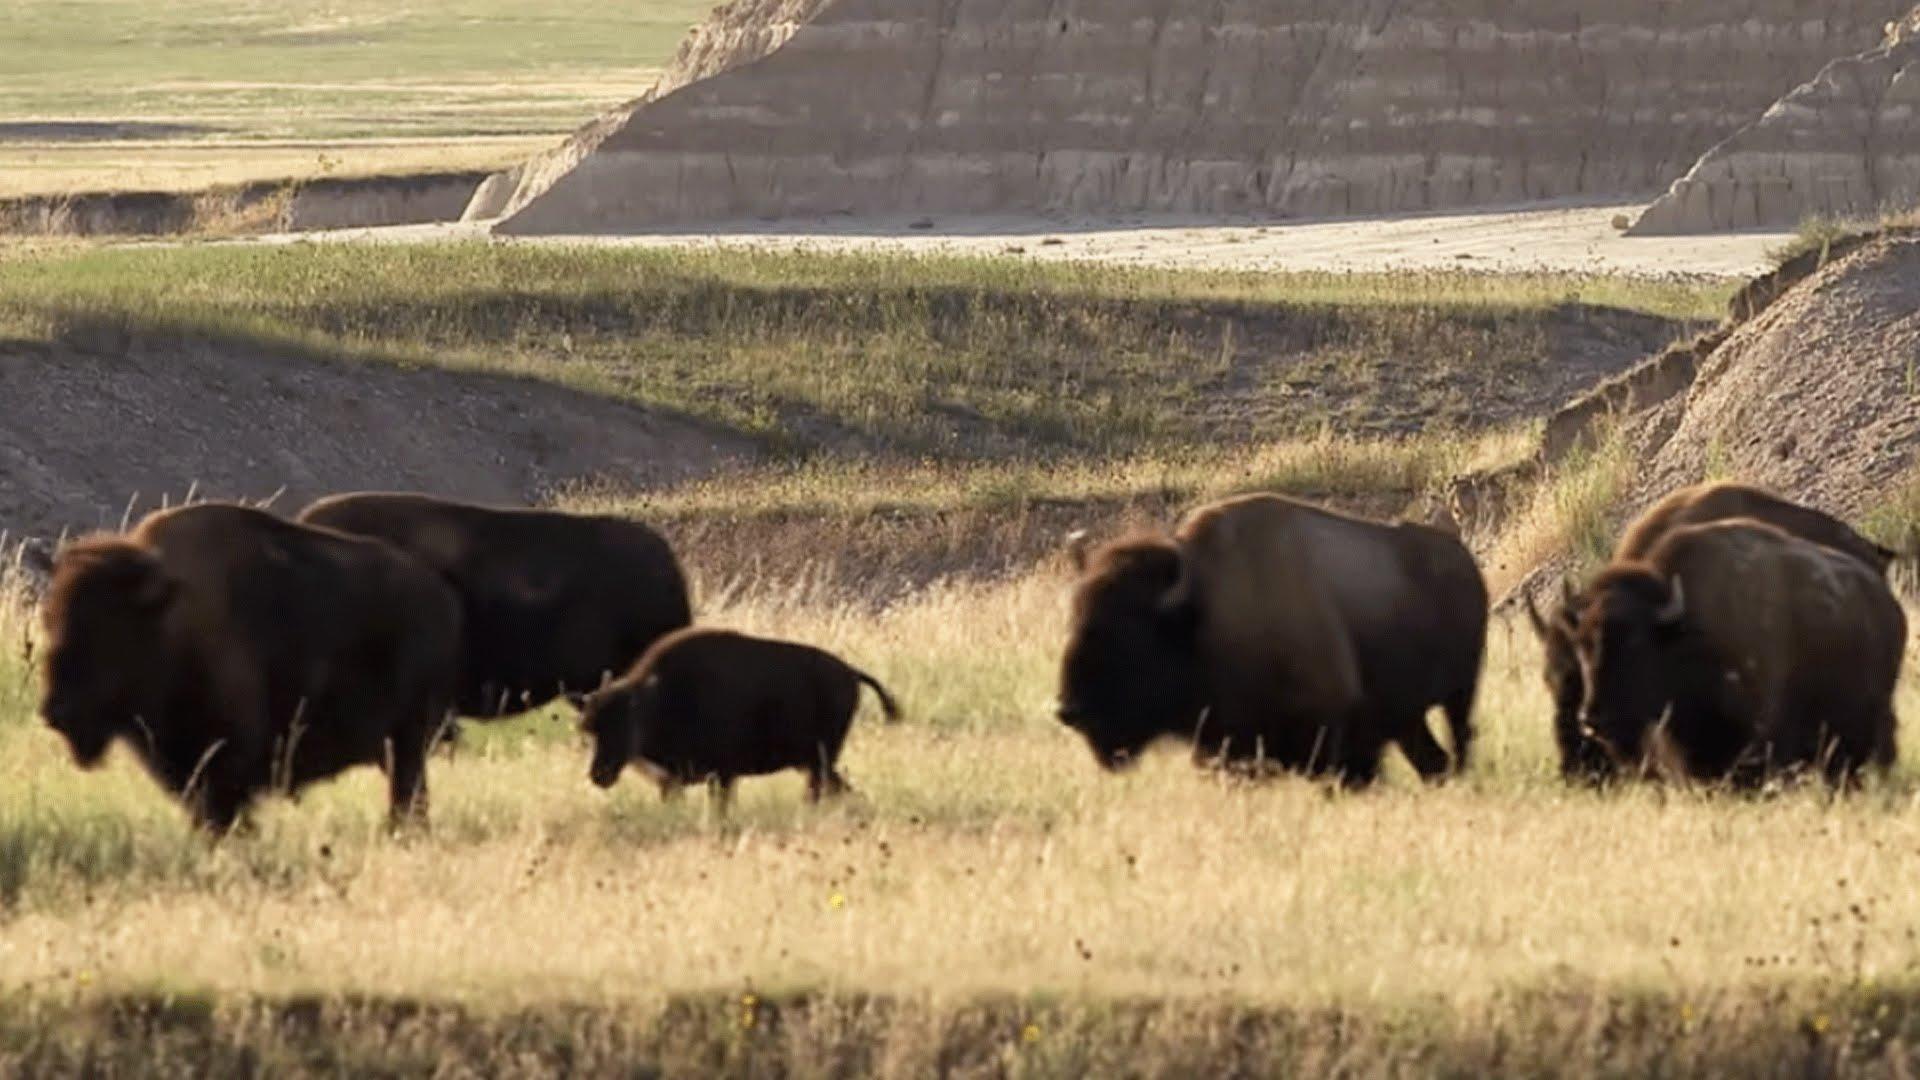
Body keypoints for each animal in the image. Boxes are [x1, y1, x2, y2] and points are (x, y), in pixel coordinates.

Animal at [38, 504, 460, 832]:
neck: (169, 618)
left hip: (407, 741)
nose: (55, 711)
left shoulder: (227, 768)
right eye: (50, 619)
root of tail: (438, 596)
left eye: (108, 628)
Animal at [580, 628, 900, 805]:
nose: (598, 775)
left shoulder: (721, 774)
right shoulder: (679, 782)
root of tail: (851, 673)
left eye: (623, 722)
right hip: (815, 764)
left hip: (818, 762)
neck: (656, 697)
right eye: (591, 730)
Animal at [1057, 494, 1488, 786]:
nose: (1068, 710)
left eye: (1125, 633)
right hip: (1409, 718)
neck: (1202, 610)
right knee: (1433, 760)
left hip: (1458, 696)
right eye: (1074, 618)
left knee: (1459, 743)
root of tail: (1463, 559)